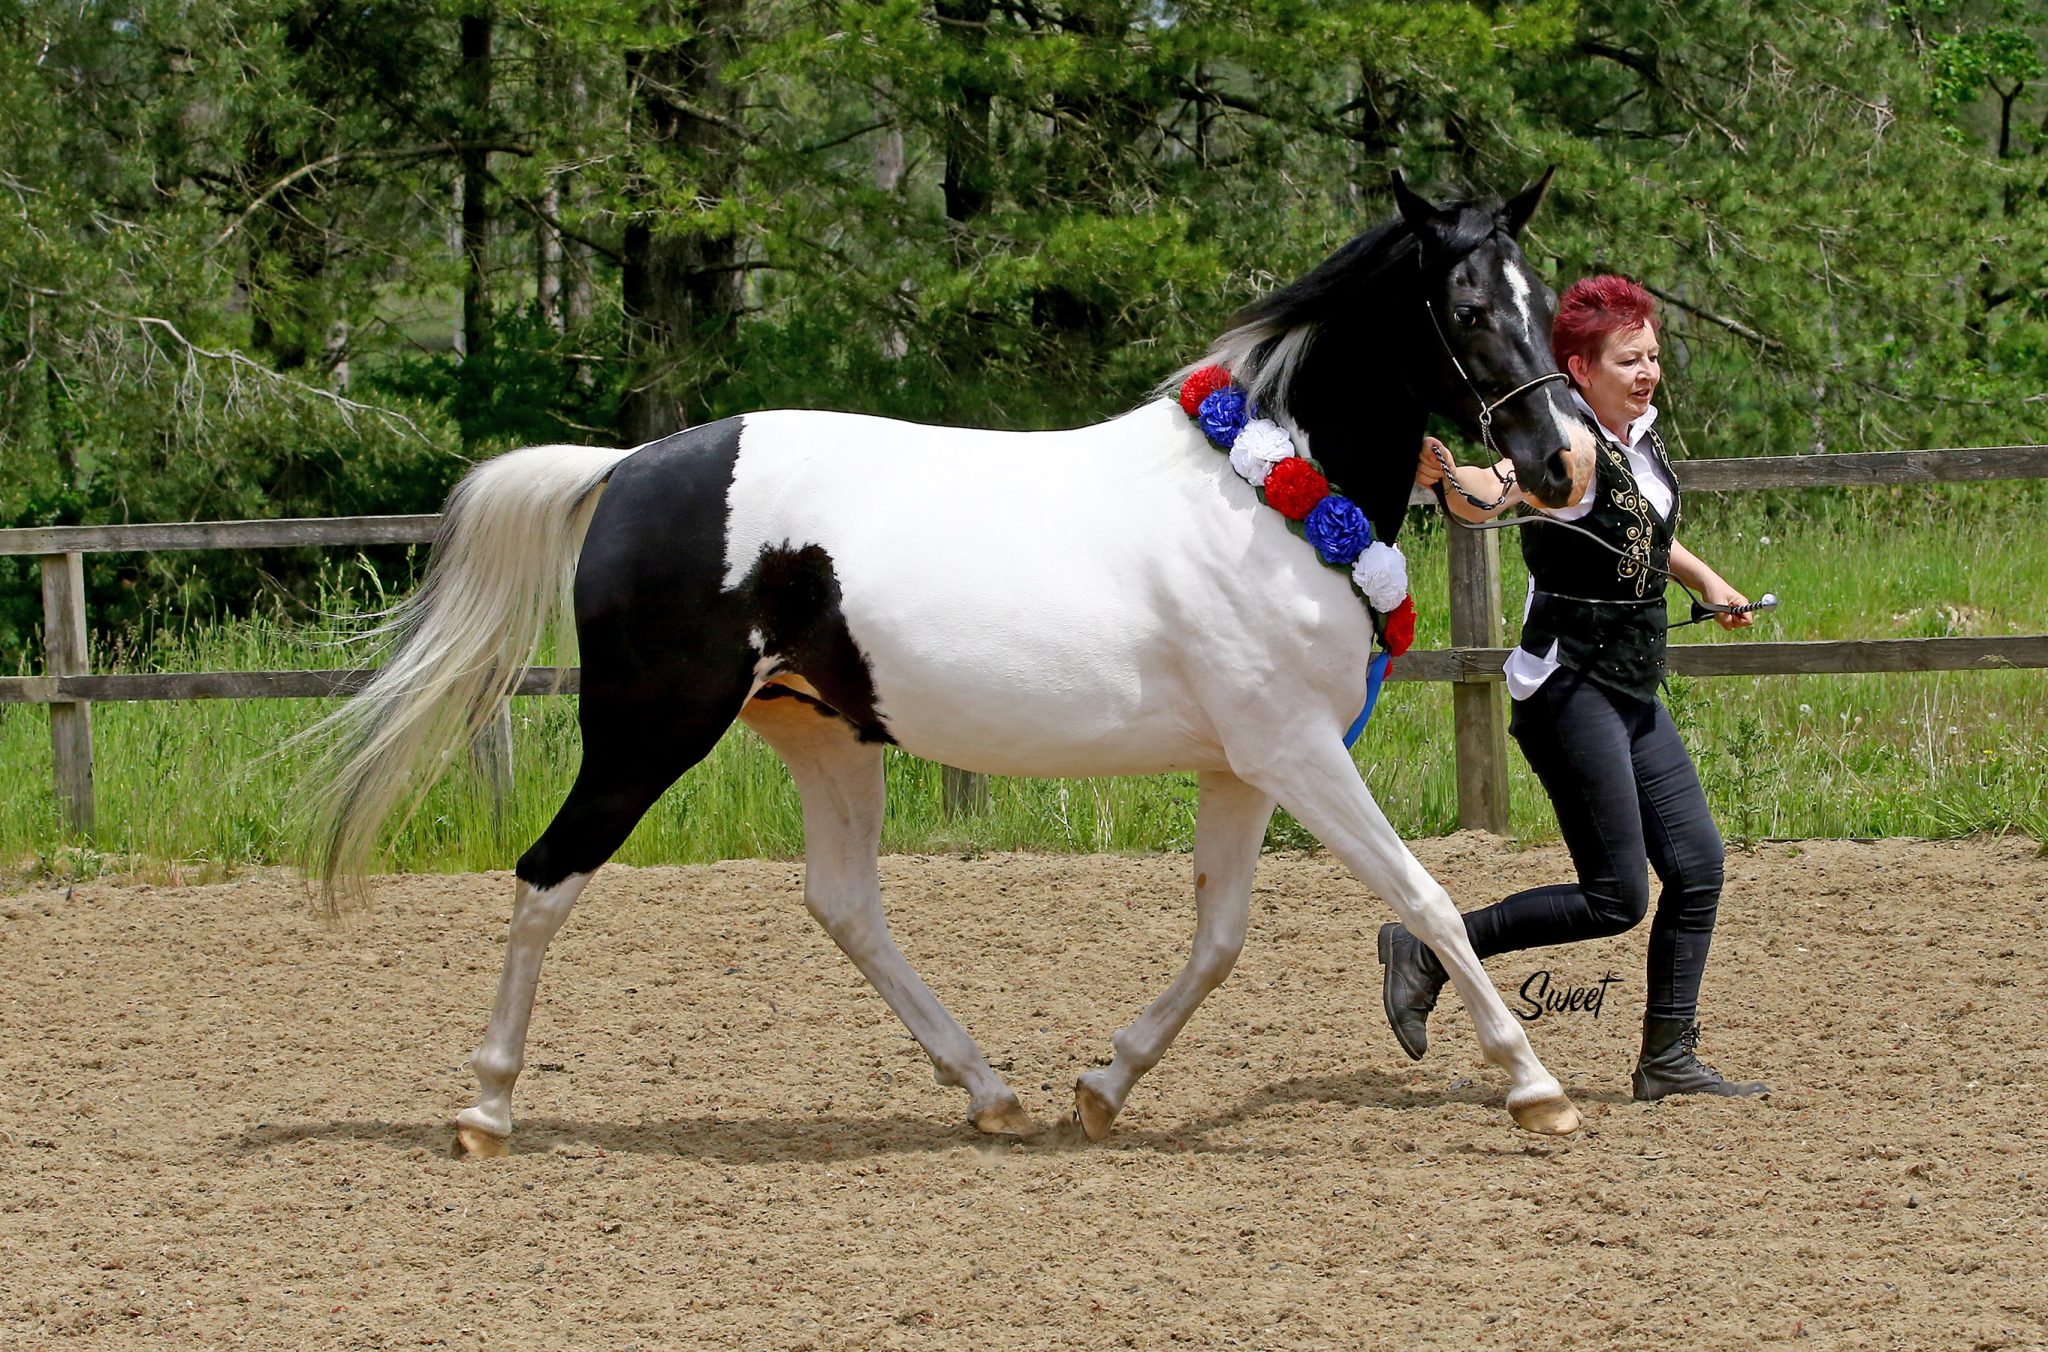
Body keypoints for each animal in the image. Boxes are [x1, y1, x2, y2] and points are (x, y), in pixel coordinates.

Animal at [311, 170, 1598, 1158]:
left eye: (1544, 303)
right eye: (1465, 309)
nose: (1559, 462)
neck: (1267, 496)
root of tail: (627, 467)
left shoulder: (1243, 763)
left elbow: (1221, 936)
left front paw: (1104, 1084)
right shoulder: (1294, 752)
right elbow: (1421, 893)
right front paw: (1533, 1086)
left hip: (821, 732)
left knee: (843, 902)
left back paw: (988, 1089)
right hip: (645, 730)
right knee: (545, 875)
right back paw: (485, 1106)